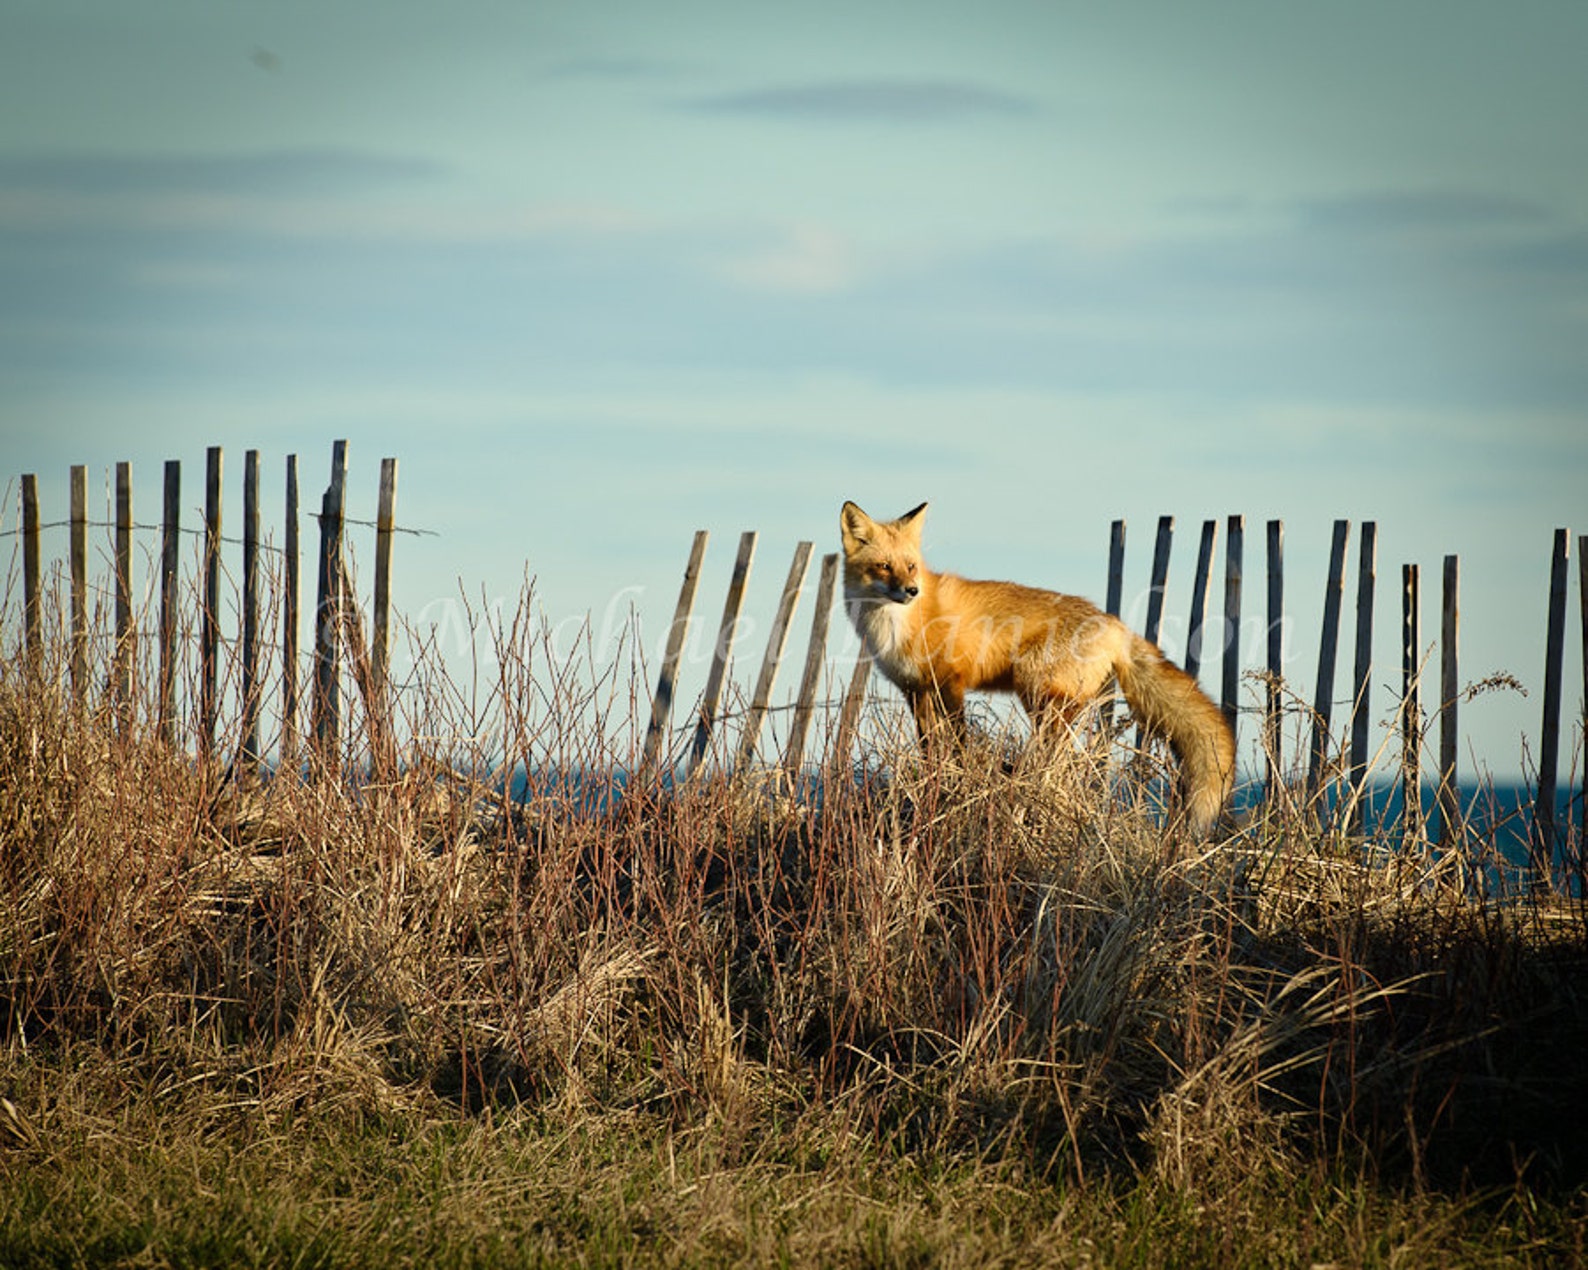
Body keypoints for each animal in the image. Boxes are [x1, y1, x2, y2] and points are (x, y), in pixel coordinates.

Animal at [839, 500, 1236, 836]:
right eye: (884, 566)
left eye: (910, 565)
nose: (911, 590)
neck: (897, 624)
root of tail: (1115, 624)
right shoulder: (915, 689)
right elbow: (928, 748)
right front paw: (931, 782)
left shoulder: (952, 682)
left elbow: (958, 745)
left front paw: (957, 783)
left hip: (1038, 690)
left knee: (1052, 754)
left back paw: (1023, 781)